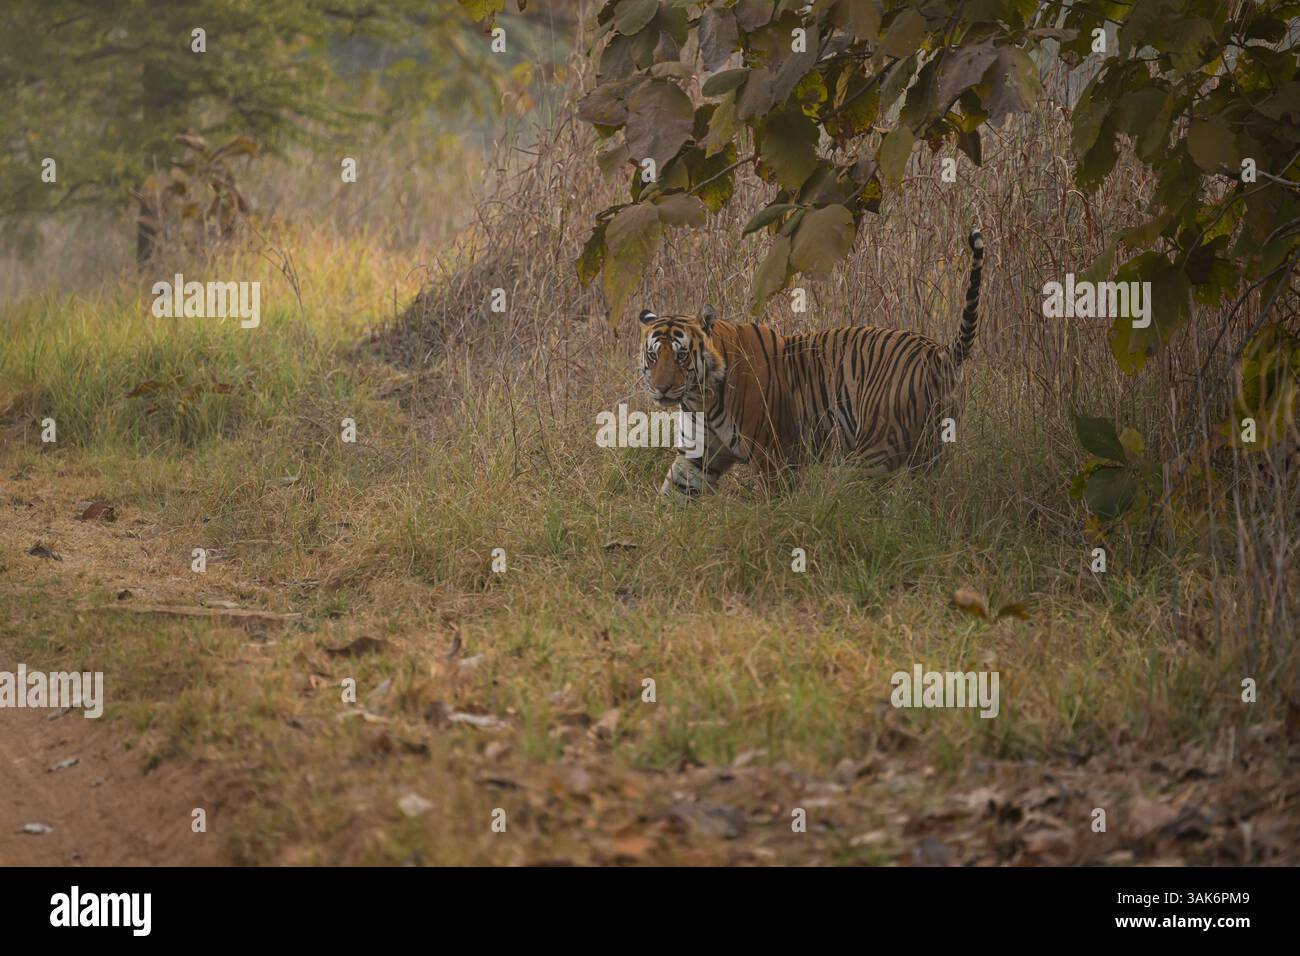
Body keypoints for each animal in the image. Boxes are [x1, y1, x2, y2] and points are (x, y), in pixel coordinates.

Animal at [638, 229, 984, 497]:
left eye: (681, 355)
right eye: (654, 355)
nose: (661, 389)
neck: (701, 398)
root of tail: (939, 351)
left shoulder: (773, 454)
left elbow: (772, 502)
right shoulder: (699, 455)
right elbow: (673, 494)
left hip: (874, 452)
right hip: (930, 452)